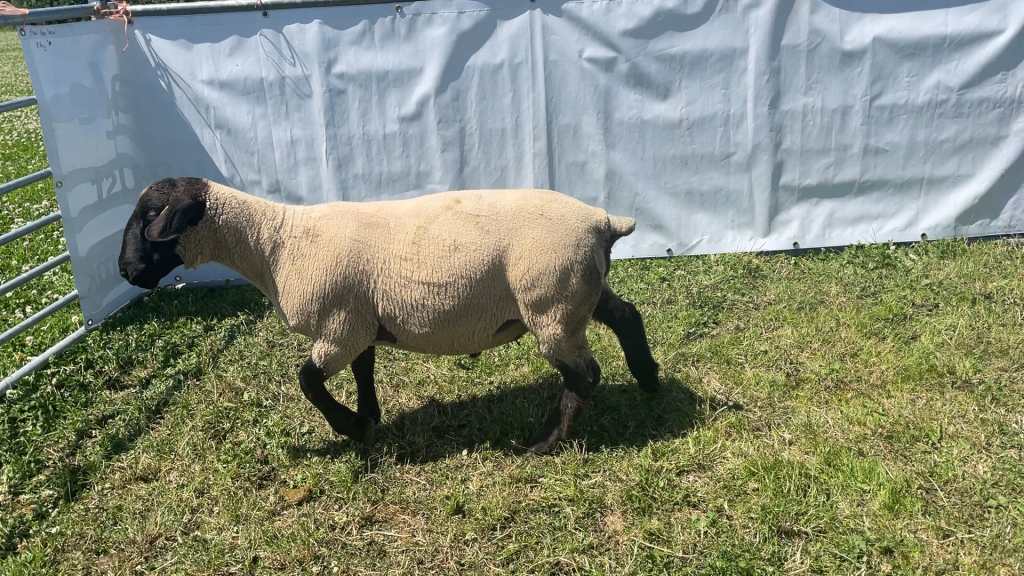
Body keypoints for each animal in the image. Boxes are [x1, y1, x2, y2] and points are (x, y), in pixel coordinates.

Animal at [118, 177, 660, 454]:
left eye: (150, 217)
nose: (126, 270)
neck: (275, 243)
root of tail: (601, 221)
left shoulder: (338, 325)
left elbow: (307, 381)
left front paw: (352, 430)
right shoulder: (358, 323)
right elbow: (364, 370)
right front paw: (369, 417)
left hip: (551, 303)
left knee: (584, 375)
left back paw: (544, 443)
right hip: (581, 289)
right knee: (627, 317)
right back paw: (649, 380)